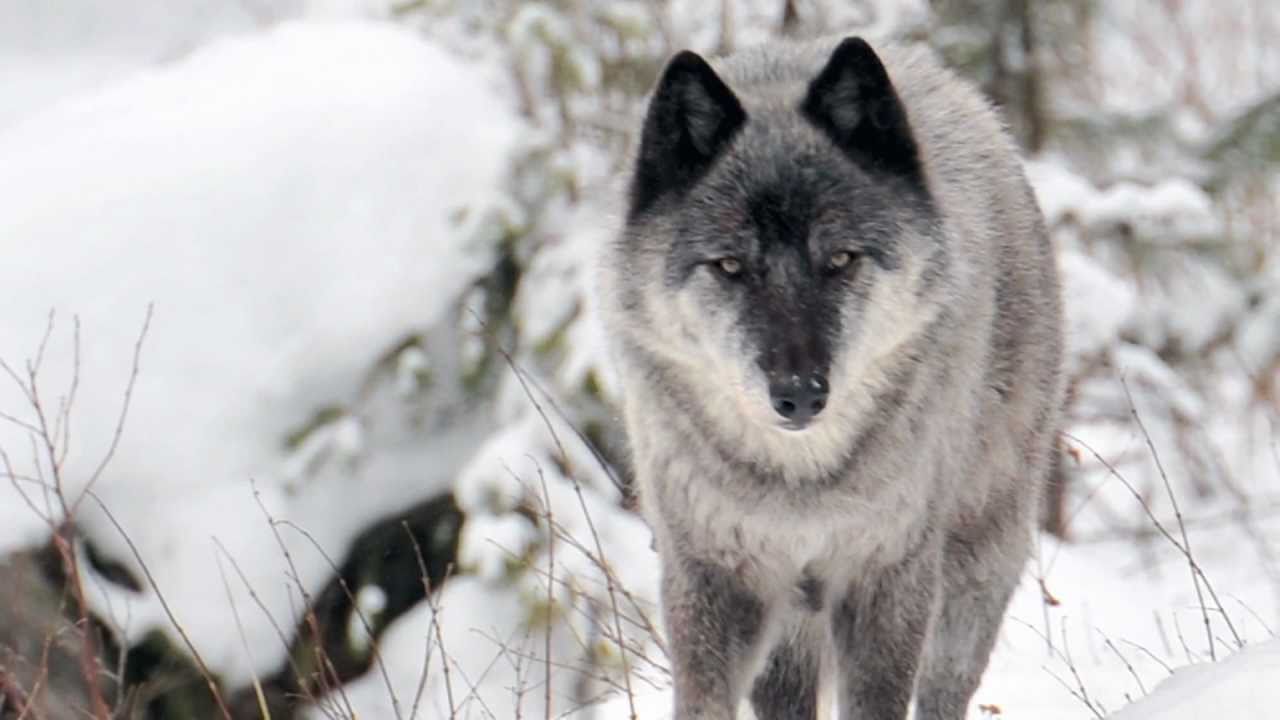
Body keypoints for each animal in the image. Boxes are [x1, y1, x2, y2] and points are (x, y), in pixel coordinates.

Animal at [596, 34, 1063, 720]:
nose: (799, 395)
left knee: (945, 688)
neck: (802, 486)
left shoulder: (886, 579)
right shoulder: (713, 577)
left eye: (840, 258)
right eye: (730, 266)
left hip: (975, 575)